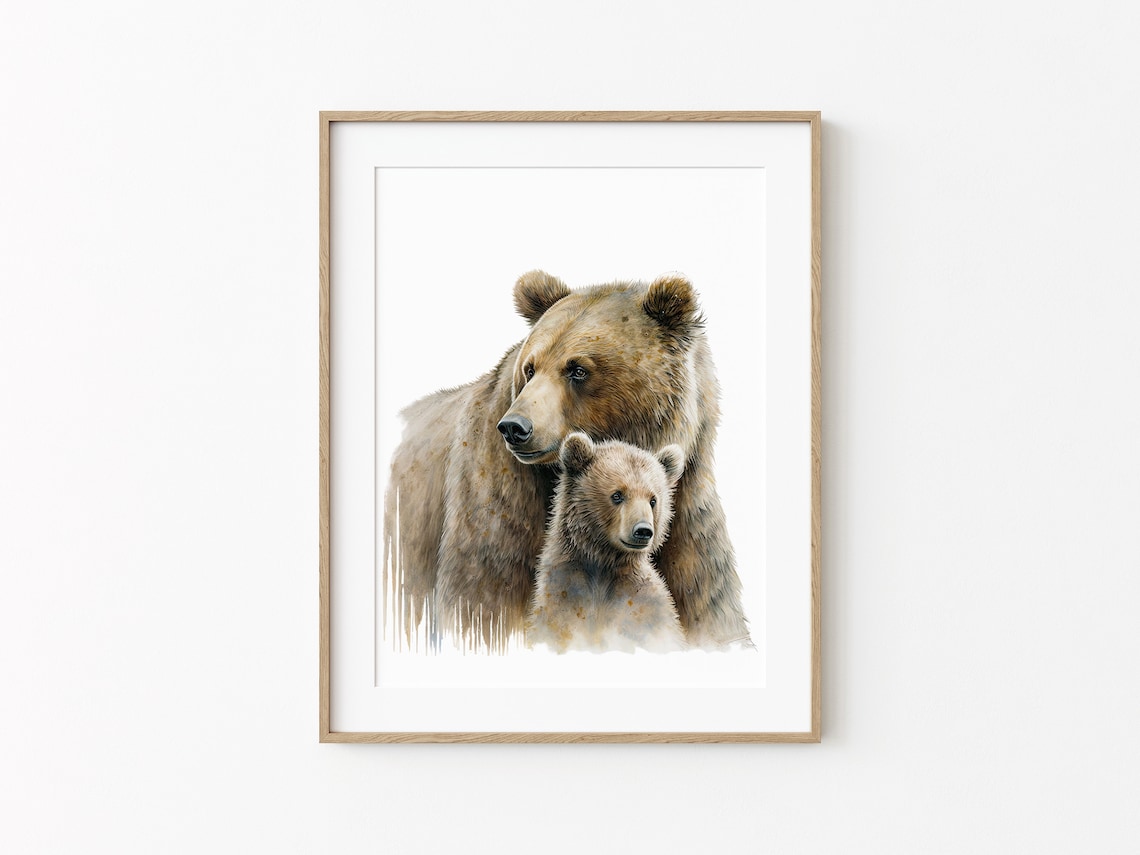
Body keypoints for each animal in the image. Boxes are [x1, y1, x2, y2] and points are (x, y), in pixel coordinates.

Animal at [526, 433, 687, 654]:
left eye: (653, 500)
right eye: (617, 495)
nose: (643, 531)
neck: (603, 561)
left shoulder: (642, 602)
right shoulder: (564, 592)